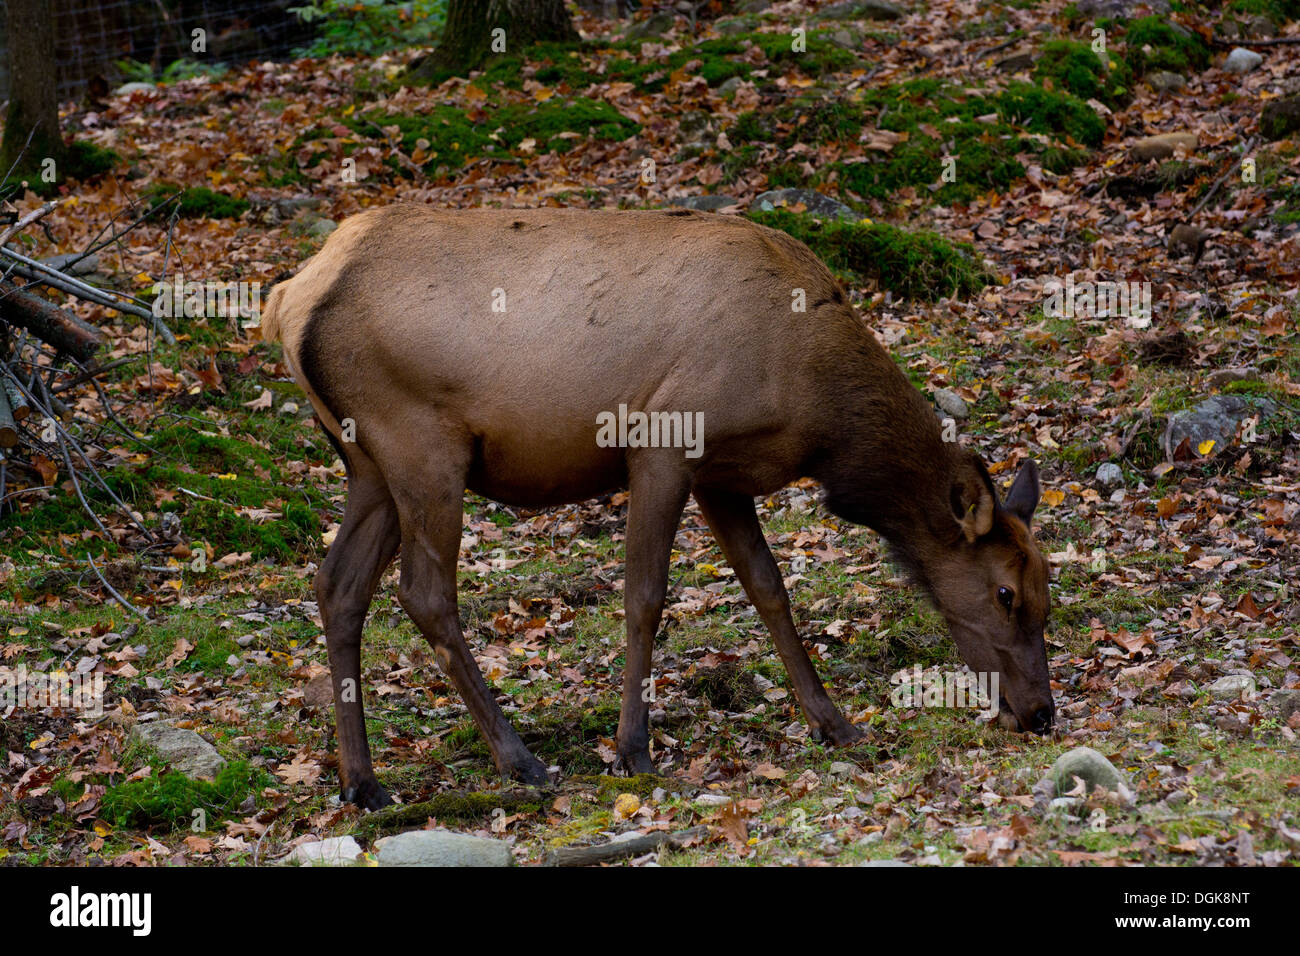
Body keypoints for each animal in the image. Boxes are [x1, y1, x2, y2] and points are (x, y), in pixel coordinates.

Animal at [261, 204, 1054, 810]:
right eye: (1005, 593)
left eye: (1047, 590)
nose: (1041, 713)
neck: (816, 412)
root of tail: (286, 299)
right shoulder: (664, 440)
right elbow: (644, 595)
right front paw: (631, 748)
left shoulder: (723, 477)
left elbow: (769, 588)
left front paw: (833, 721)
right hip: (422, 445)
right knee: (424, 594)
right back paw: (519, 759)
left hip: (369, 465)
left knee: (338, 585)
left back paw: (364, 783)